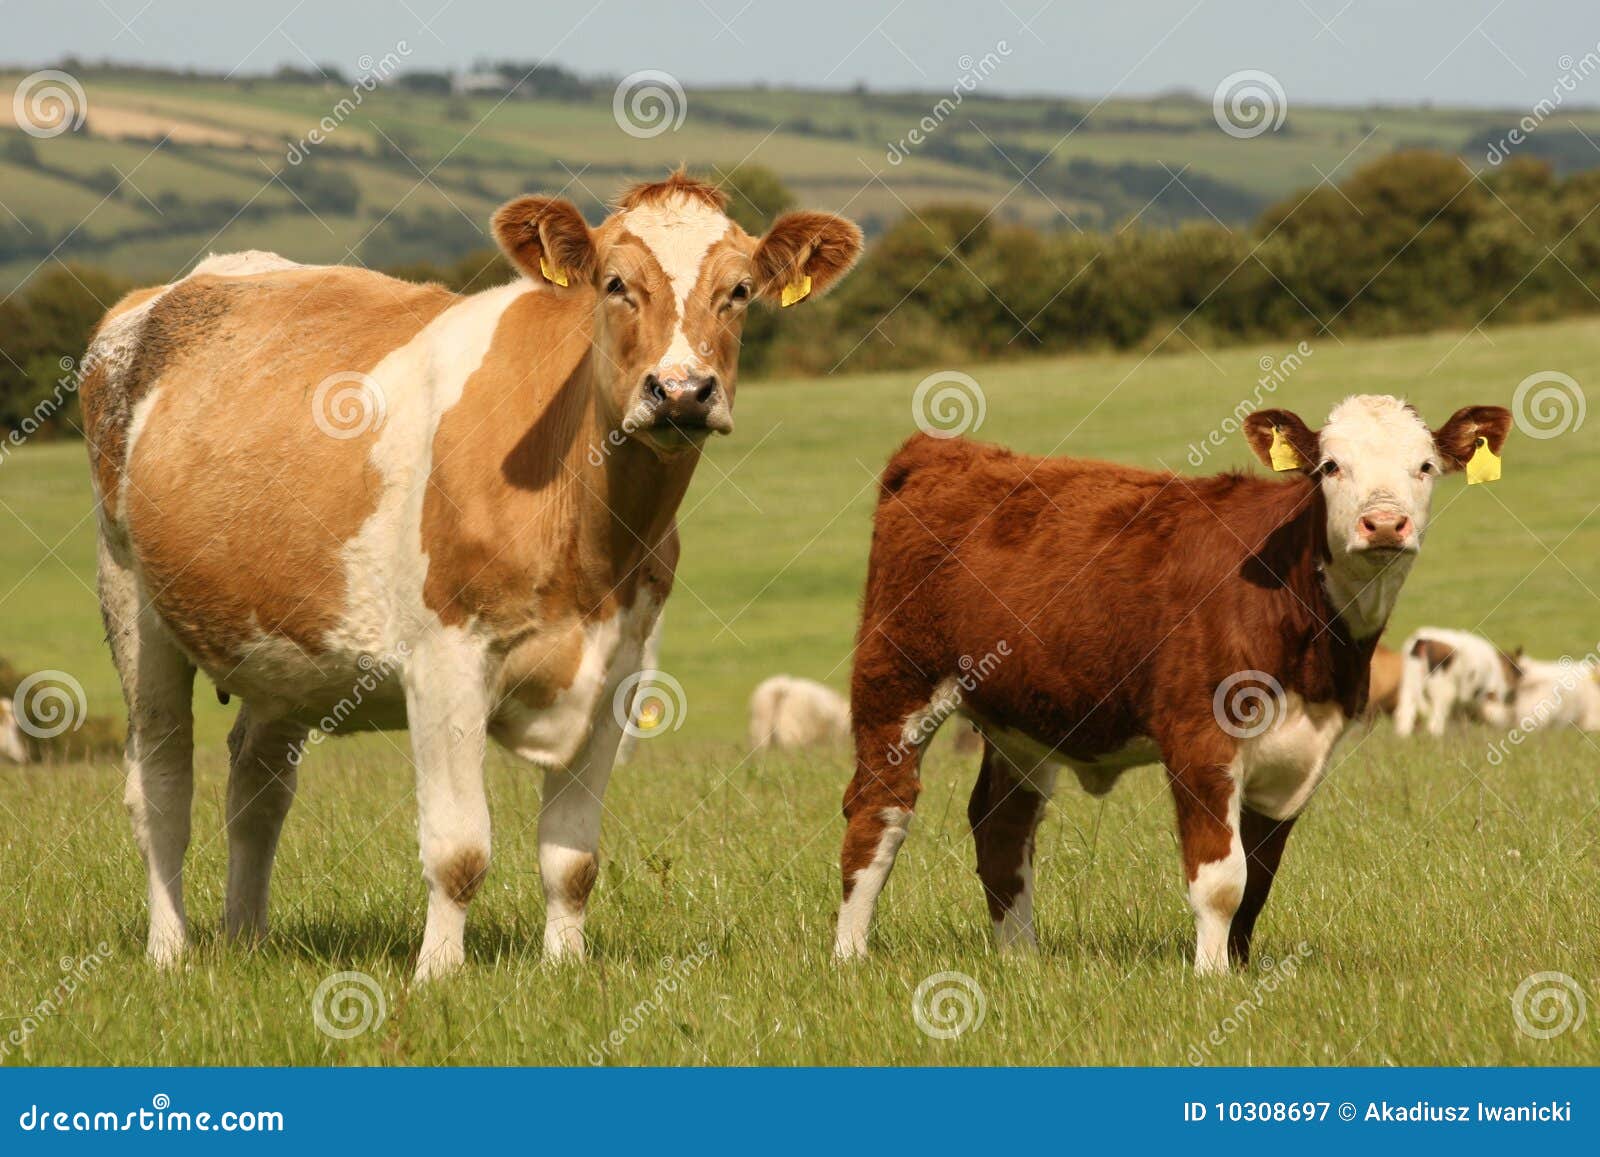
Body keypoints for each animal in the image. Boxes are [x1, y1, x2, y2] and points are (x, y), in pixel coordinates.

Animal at [79, 172, 862, 979]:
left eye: (739, 290)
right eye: (615, 284)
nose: (680, 392)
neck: (586, 530)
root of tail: (180, 286)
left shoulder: (618, 672)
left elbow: (572, 859)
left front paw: (564, 968)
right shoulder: (444, 660)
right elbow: (458, 850)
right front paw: (438, 974)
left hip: (281, 646)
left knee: (258, 788)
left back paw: (246, 937)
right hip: (133, 604)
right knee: (161, 789)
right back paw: (170, 949)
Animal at [837, 395, 1510, 973]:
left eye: (1424, 466)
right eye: (1330, 466)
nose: (1384, 523)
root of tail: (943, 452)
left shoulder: (1301, 756)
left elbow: (1259, 876)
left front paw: (1239, 967)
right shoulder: (1199, 737)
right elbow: (1222, 880)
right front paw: (1210, 978)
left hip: (1021, 717)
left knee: (1002, 825)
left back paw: (1021, 960)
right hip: (895, 680)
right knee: (878, 810)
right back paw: (850, 954)